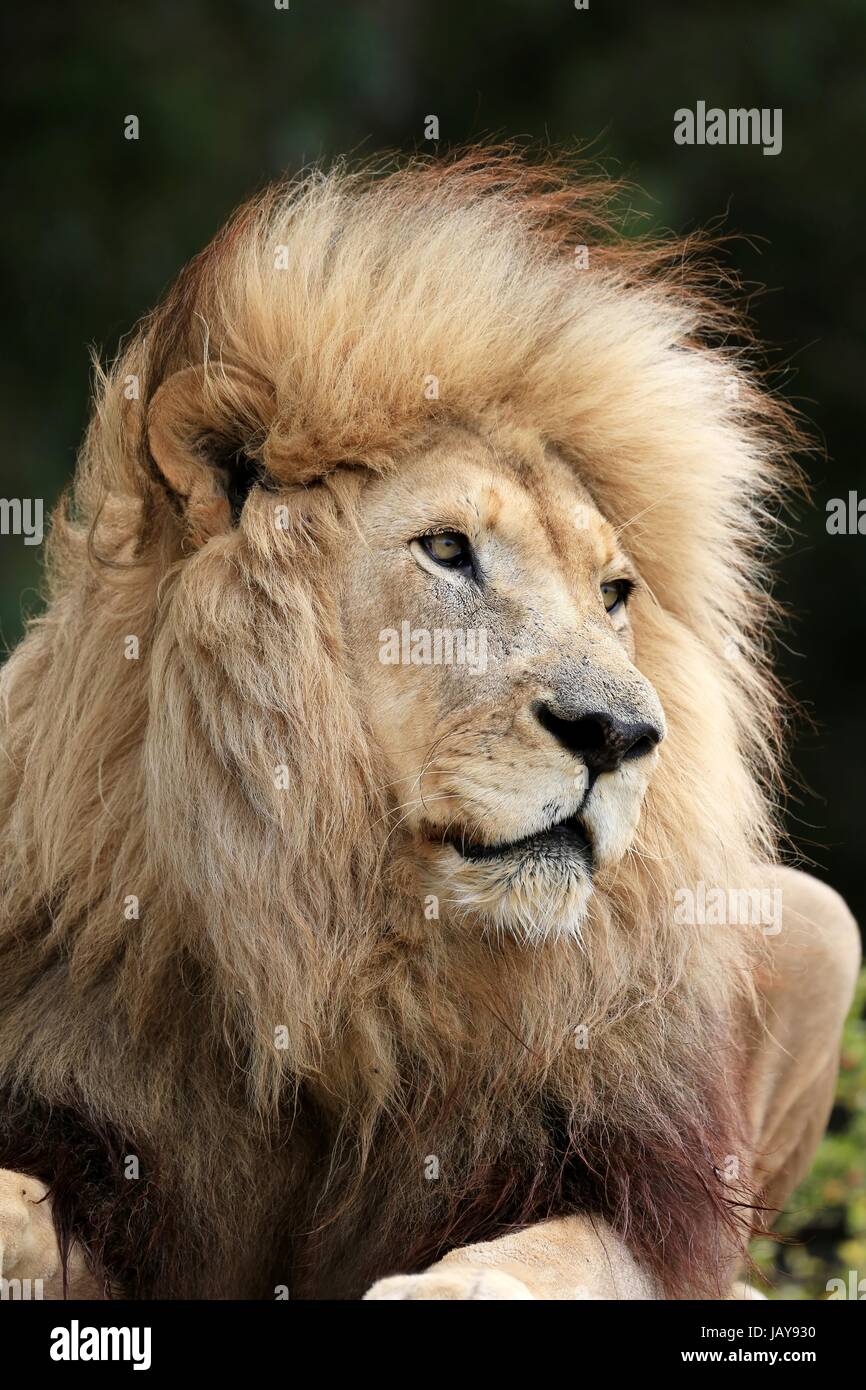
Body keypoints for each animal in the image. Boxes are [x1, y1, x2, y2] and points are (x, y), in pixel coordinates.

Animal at [0, 151, 859, 1301]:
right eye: (447, 549)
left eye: (613, 591)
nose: (621, 734)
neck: (340, 946)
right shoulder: (92, 1133)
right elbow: (21, 1199)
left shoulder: (627, 1183)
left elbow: (556, 1253)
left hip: (818, 921)